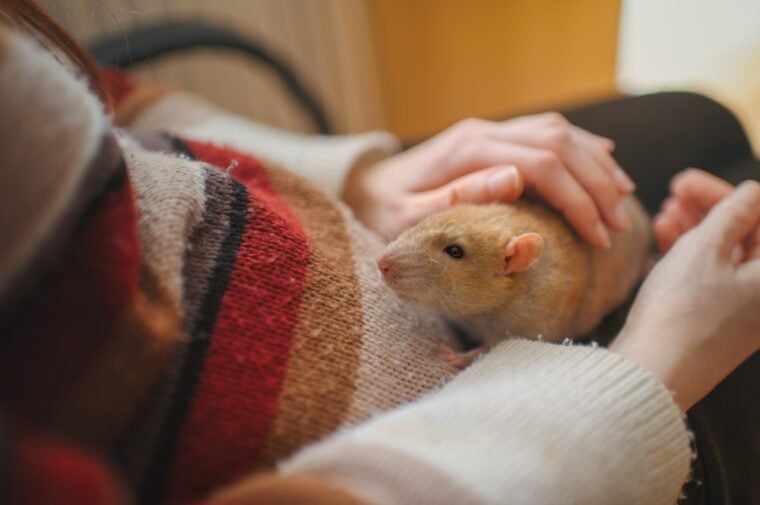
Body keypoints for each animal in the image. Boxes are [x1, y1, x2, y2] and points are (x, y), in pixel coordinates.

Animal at [377, 197, 651, 351]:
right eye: (425, 221)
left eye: (455, 251)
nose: (382, 263)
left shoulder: (530, 323)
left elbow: (488, 349)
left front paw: (456, 356)